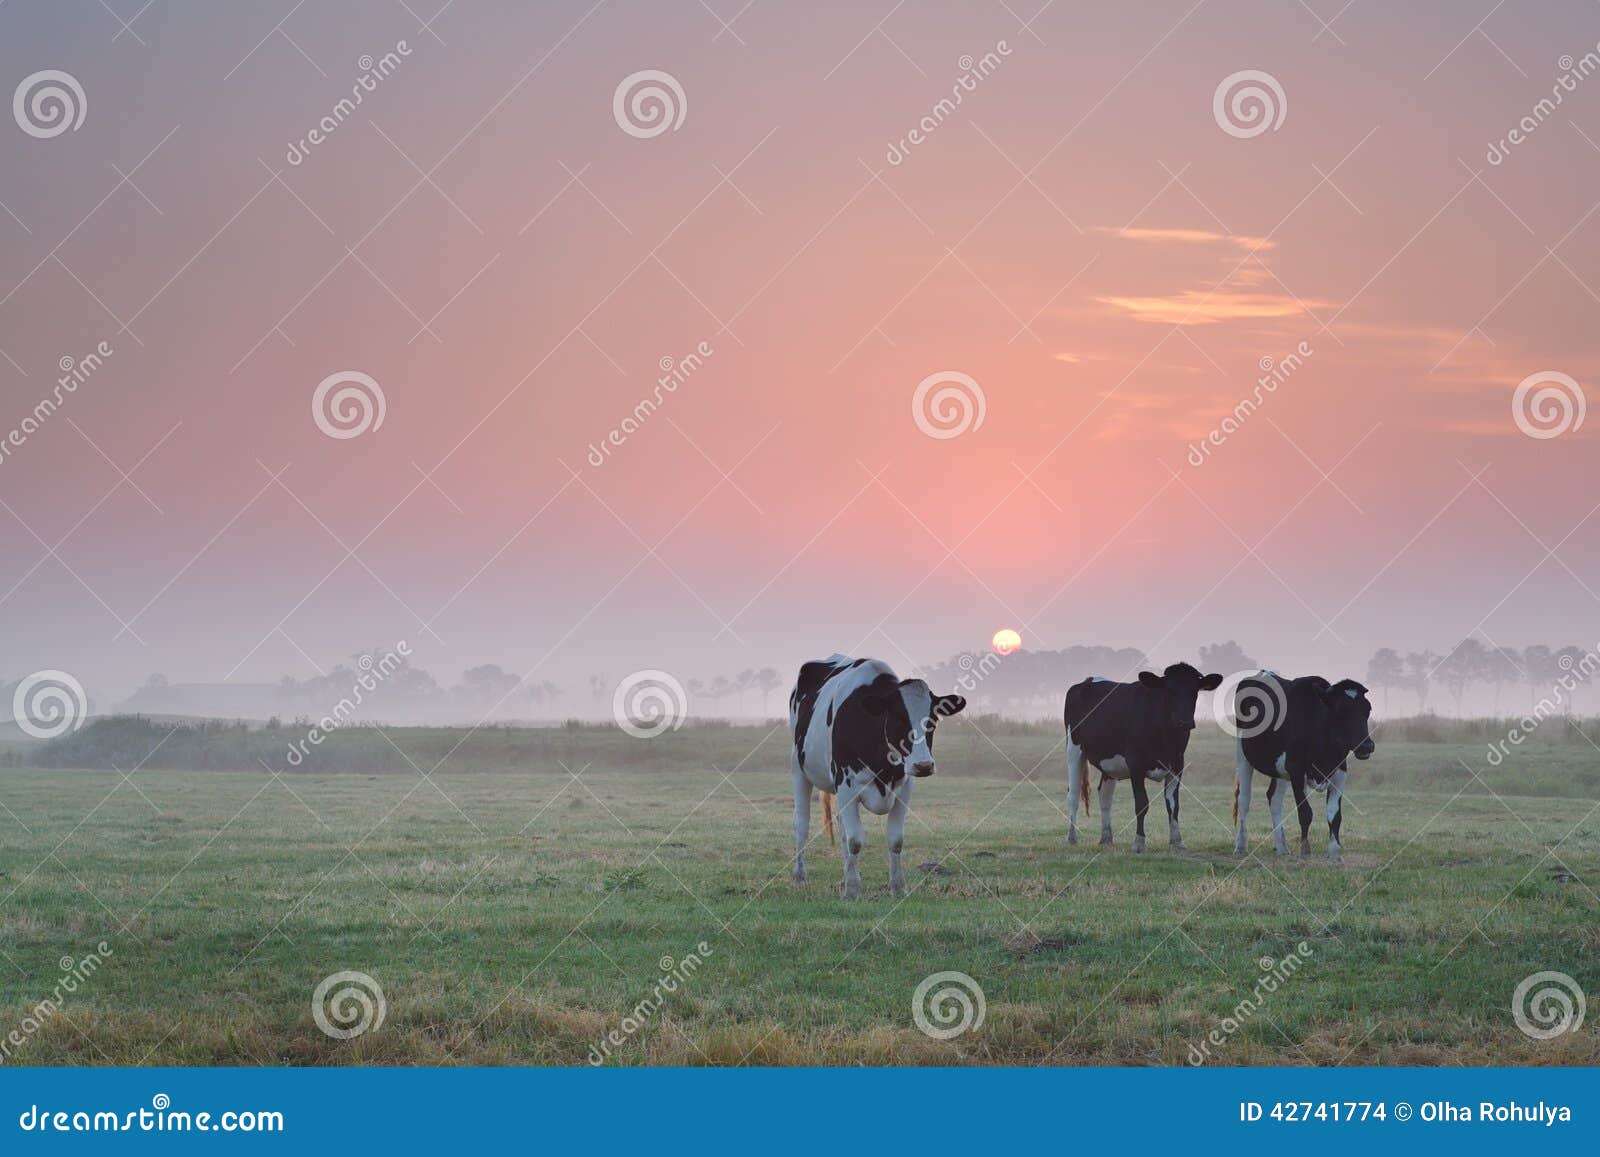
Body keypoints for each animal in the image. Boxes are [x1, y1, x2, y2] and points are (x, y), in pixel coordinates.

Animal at [790, 654, 967, 899]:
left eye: (932, 720)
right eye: (899, 718)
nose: (923, 765)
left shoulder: (904, 789)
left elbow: (895, 840)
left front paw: (898, 888)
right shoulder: (846, 786)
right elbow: (855, 840)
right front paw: (852, 891)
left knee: (842, 830)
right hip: (799, 769)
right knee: (802, 824)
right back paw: (800, 877)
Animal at [1064, 663, 1223, 852]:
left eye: (1195, 690)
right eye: (1169, 690)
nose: (1185, 722)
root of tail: (1087, 681)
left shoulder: (1177, 765)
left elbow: (1173, 805)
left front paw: (1177, 841)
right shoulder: (1135, 764)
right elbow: (1142, 804)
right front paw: (1139, 842)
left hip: (1109, 763)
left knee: (1105, 796)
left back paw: (1106, 838)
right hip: (1073, 749)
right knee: (1073, 795)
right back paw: (1072, 838)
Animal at [1231, 671, 1375, 863]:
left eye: (1367, 709)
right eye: (1341, 710)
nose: (1367, 746)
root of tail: (1263, 673)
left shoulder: (1340, 772)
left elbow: (1334, 814)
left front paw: (1334, 851)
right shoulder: (1296, 770)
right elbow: (1305, 812)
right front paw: (1305, 849)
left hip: (1279, 770)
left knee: (1274, 799)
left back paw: (1281, 847)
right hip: (1243, 756)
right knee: (1244, 800)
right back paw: (1240, 845)